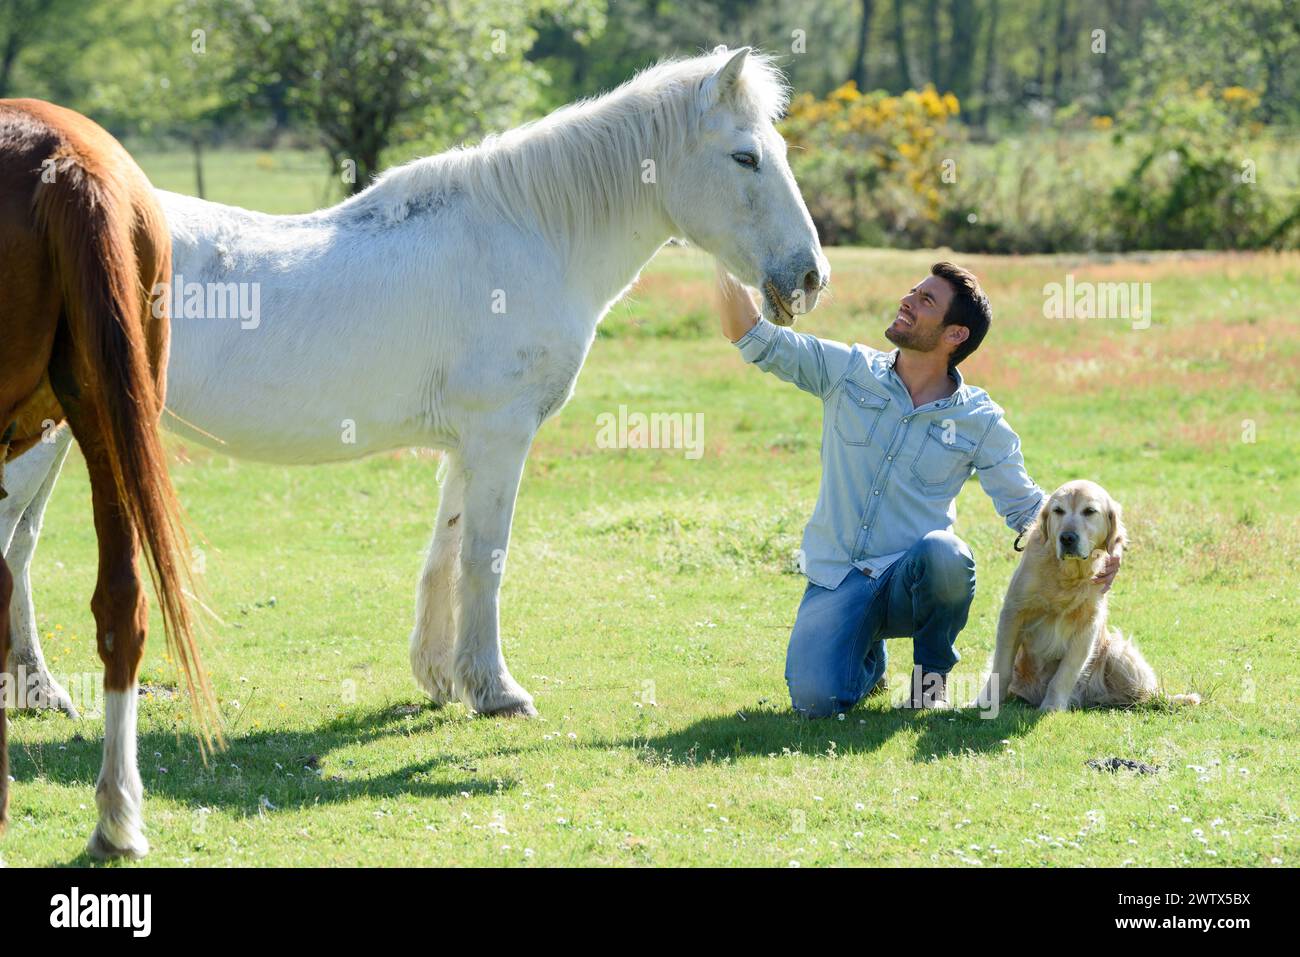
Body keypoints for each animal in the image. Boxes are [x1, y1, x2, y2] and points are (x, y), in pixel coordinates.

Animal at [4, 48, 826, 725]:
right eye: (746, 156)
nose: (810, 277)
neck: (529, 233)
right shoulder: (501, 435)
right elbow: (484, 557)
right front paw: (498, 690)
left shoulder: (466, 446)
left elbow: (446, 552)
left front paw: (442, 679)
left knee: (21, 545)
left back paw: (39, 693)